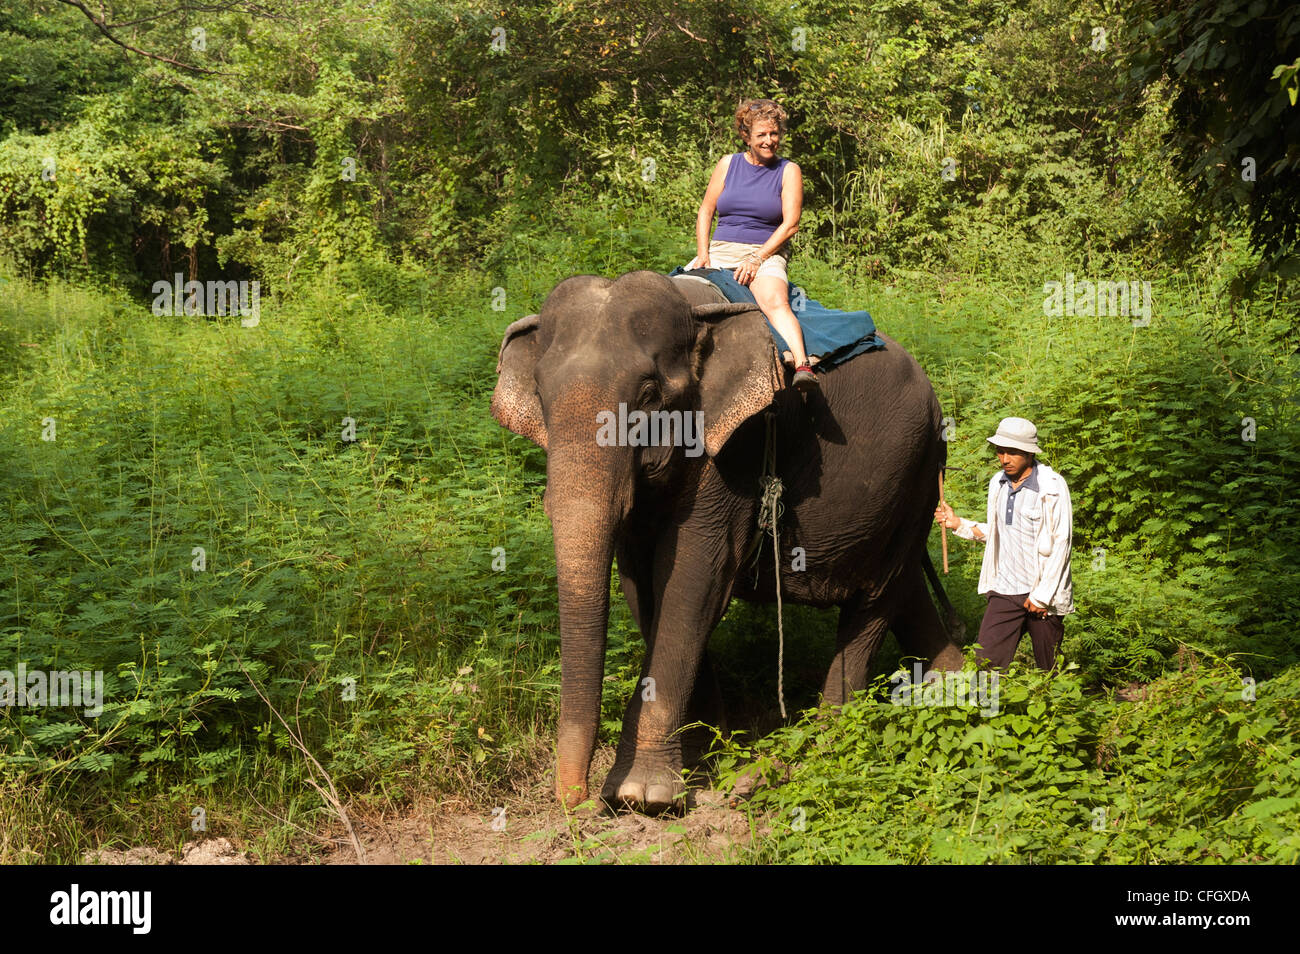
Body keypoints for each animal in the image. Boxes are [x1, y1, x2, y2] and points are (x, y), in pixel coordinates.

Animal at [491, 269, 964, 815]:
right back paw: (960, 690)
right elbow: (643, 588)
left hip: (916, 473)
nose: (576, 802)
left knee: (874, 600)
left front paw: (643, 796)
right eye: (540, 394)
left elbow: (694, 582)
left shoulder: (737, 449)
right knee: (904, 589)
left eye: (650, 394)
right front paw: (704, 756)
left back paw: (825, 749)